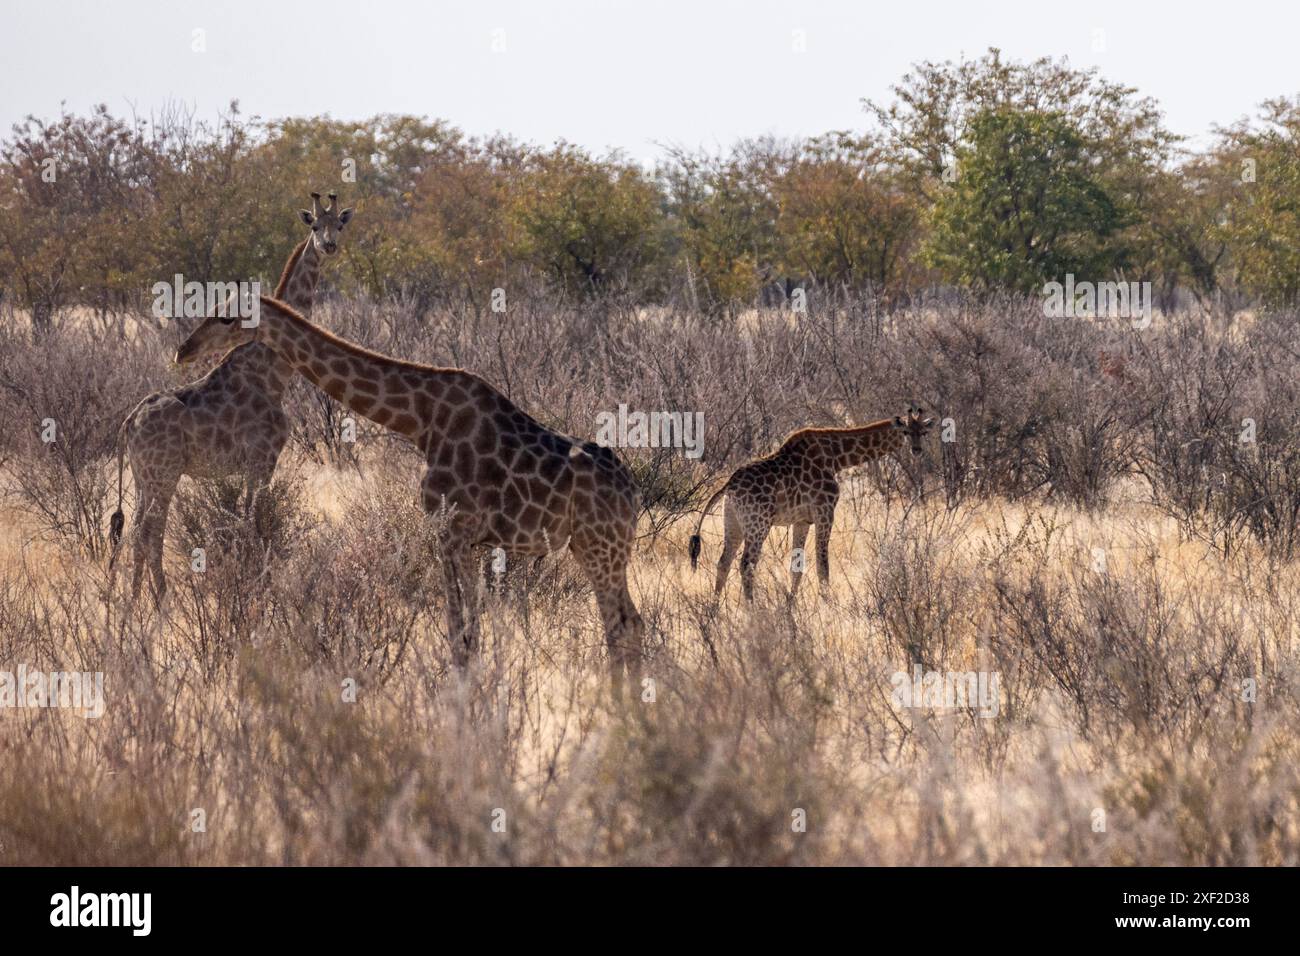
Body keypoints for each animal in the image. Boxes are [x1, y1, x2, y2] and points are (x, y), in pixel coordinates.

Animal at [108, 192, 353, 603]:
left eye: (339, 225)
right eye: (315, 226)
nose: (329, 246)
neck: (271, 371)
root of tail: (129, 423)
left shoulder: (252, 464)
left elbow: (244, 518)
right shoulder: (263, 458)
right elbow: (256, 520)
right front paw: (256, 583)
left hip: (144, 478)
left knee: (135, 531)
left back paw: (136, 601)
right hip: (163, 474)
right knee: (148, 532)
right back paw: (161, 602)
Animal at [171, 295, 646, 684]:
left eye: (227, 316)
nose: (184, 350)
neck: (421, 421)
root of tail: (633, 494)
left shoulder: (450, 531)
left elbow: (461, 633)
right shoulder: (468, 541)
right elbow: (468, 630)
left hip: (599, 546)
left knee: (620, 625)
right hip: (595, 547)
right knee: (632, 622)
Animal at [688, 407, 934, 601]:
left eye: (923, 432)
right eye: (905, 431)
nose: (917, 450)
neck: (837, 458)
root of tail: (729, 485)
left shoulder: (802, 520)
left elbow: (796, 568)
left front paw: (791, 605)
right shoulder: (825, 512)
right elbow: (823, 566)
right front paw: (828, 606)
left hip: (733, 522)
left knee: (724, 562)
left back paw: (715, 610)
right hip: (758, 524)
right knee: (746, 564)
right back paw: (752, 610)